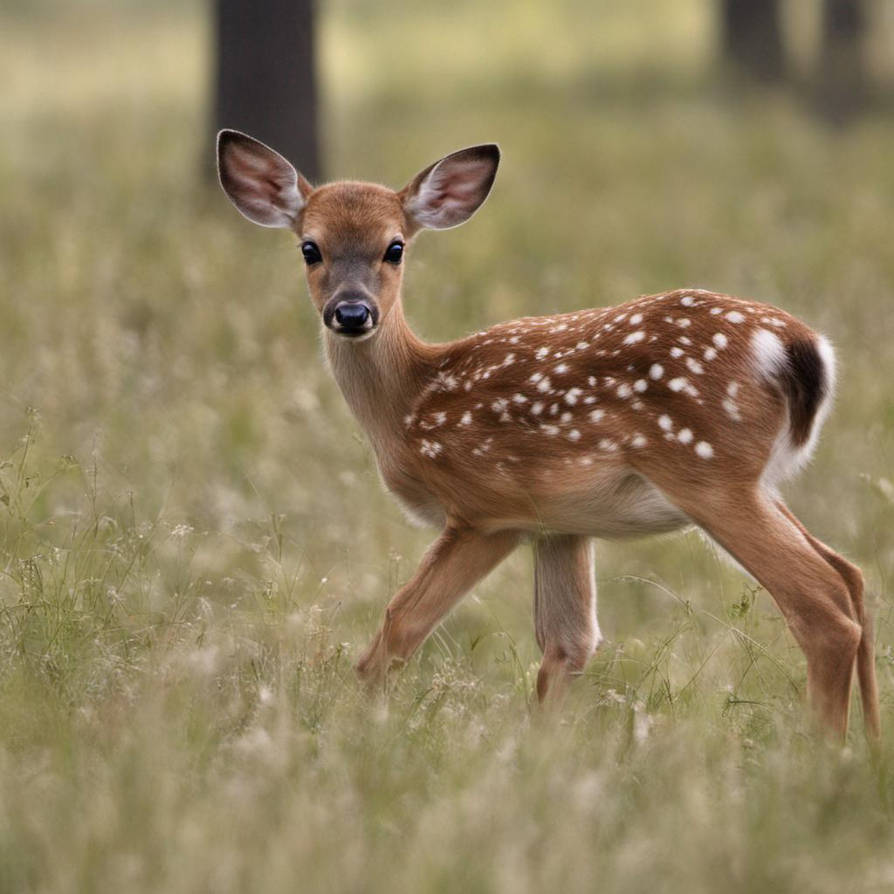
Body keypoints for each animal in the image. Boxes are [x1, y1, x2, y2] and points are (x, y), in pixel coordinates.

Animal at [217, 129, 880, 741]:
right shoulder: (559, 524)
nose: (352, 313)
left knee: (823, 604)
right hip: (755, 482)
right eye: (310, 248)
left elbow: (399, 625)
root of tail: (799, 347)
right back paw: (869, 749)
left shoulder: (487, 508)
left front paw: (354, 733)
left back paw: (824, 757)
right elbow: (568, 647)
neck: (412, 402)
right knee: (851, 575)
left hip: (709, 471)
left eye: (395, 247)